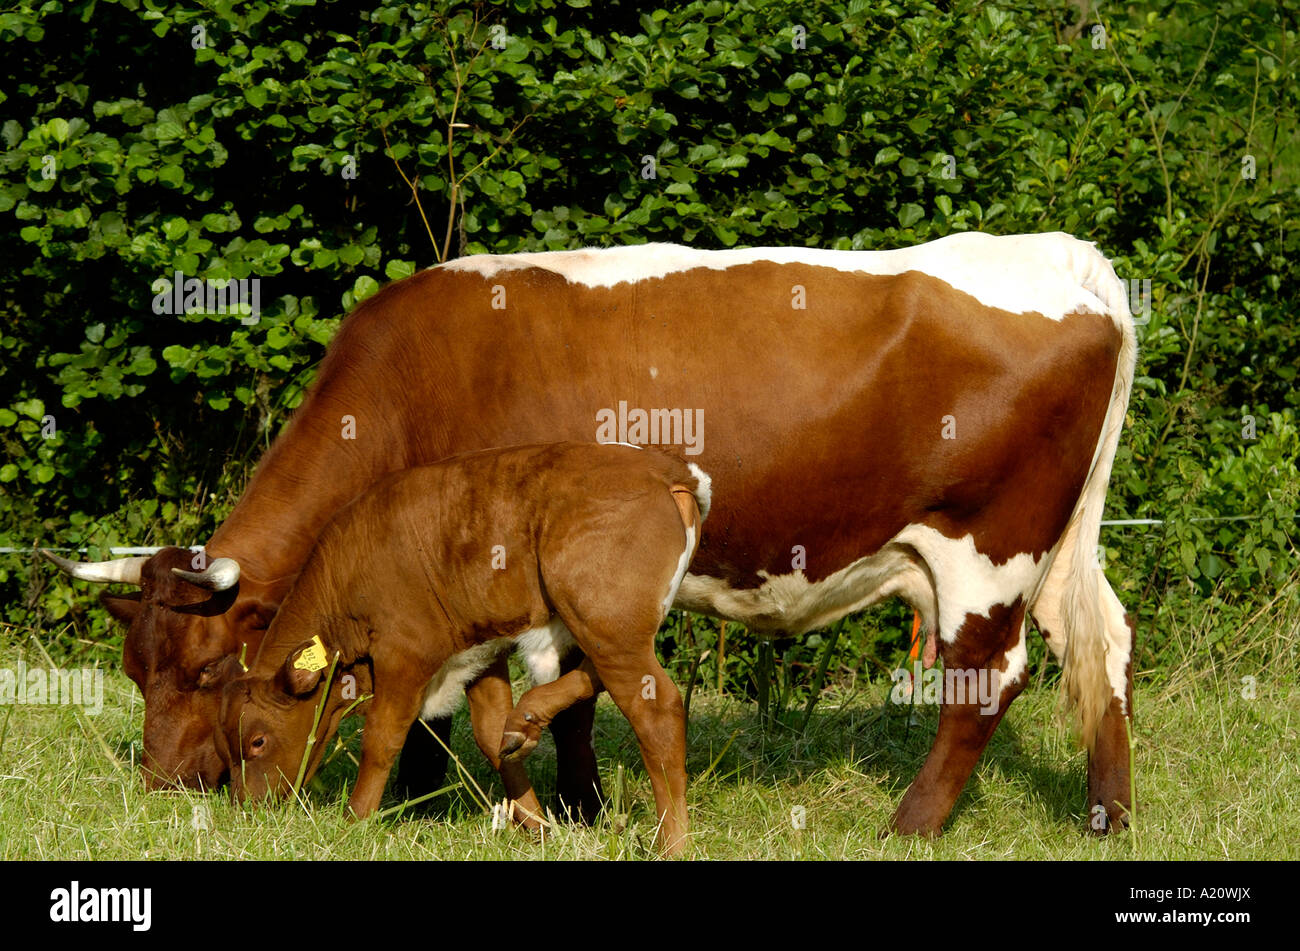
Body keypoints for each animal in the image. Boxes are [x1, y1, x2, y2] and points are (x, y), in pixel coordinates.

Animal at [217, 442, 707, 855]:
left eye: (258, 741)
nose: (246, 808)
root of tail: (661, 467)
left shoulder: (405, 654)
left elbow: (382, 738)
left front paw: (354, 822)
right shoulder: (479, 655)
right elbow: (490, 735)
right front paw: (539, 827)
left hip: (611, 628)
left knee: (658, 711)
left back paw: (674, 844)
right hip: (604, 628)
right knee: (591, 677)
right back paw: (526, 719)